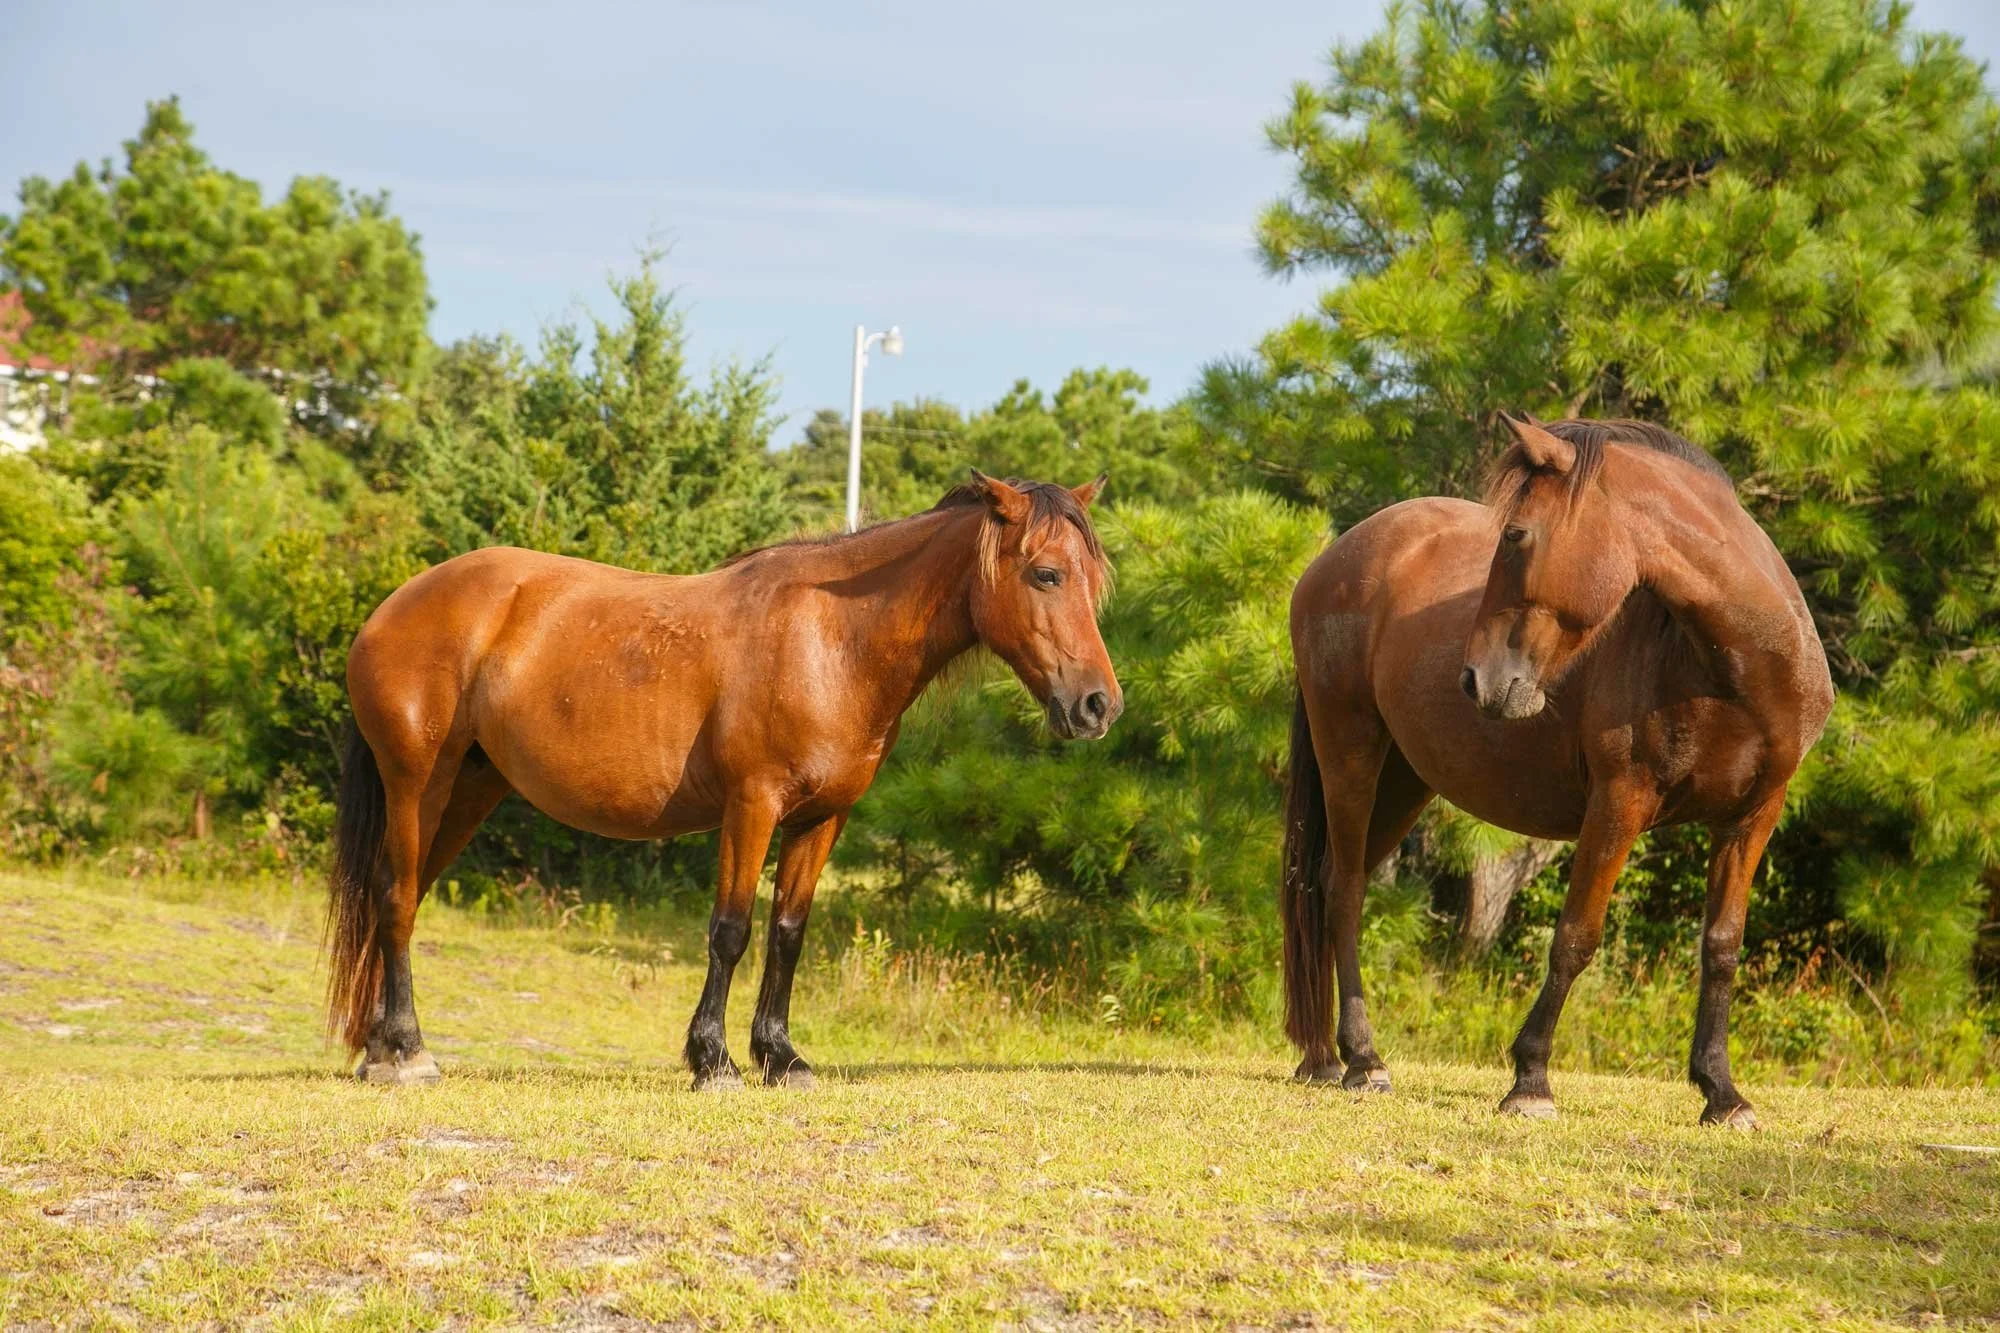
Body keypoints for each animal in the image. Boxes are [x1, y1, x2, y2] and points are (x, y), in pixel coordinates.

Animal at [324, 471, 1121, 1090]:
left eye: (1094, 581)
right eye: (1046, 573)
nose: (1098, 705)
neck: (831, 641)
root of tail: (393, 606)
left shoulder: (820, 819)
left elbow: (789, 932)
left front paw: (781, 1056)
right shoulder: (752, 806)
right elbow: (731, 930)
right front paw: (713, 1061)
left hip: (469, 789)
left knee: (405, 895)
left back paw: (379, 1048)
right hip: (416, 784)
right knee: (394, 896)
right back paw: (409, 1050)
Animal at [1282, 415, 1833, 1126]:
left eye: (1515, 535)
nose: (1476, 678)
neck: (1736, 667)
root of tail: (1333, 559)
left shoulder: (1752, 817)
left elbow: (1721, 946)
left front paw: (1722, 1091)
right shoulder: (1619, 802)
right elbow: (1576, 936)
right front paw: (1531, 1080)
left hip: (1404, 782)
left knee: (1332, 889)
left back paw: (1323, 1057)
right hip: (1350, 754)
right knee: (1343, 889)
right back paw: (1362, 1060)